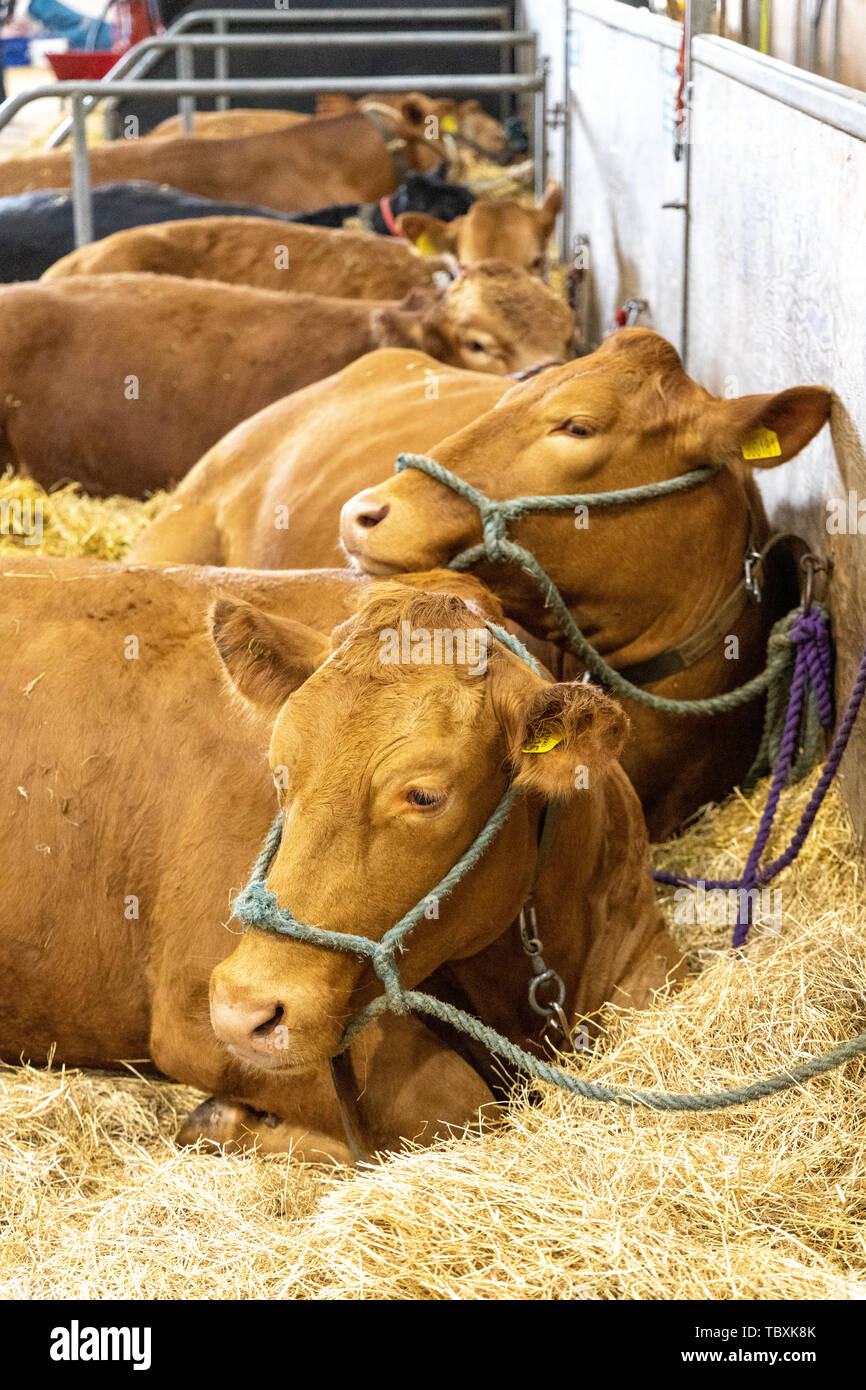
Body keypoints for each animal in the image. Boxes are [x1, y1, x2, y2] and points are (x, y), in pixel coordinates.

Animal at [0, 556, 680, 1161]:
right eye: (279, 770)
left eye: (424, 795)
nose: (245, 1010)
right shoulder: (191, 1011)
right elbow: (457, 1104)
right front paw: (228, 1122)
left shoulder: (643, 953)